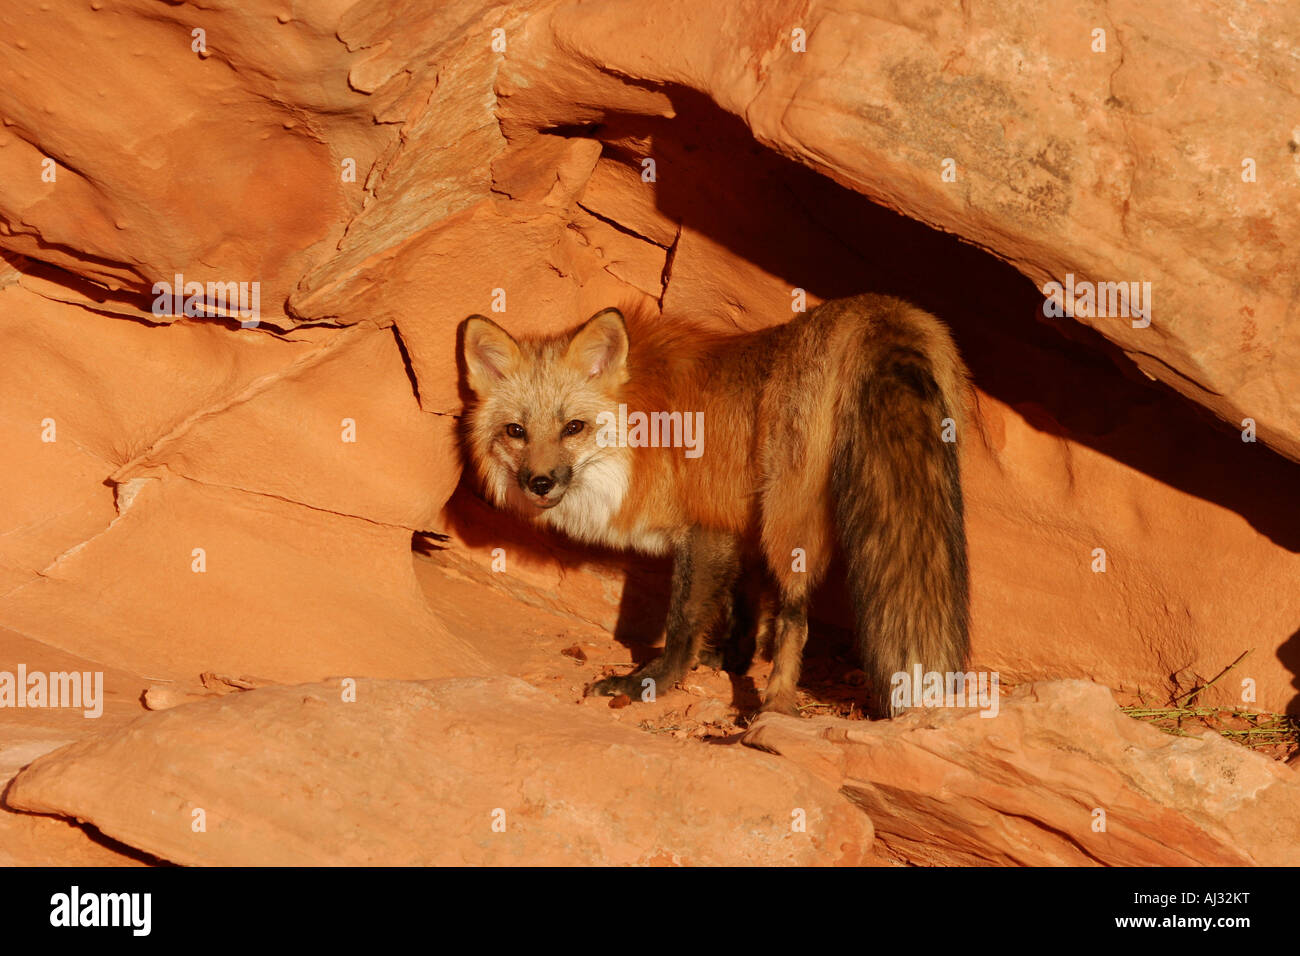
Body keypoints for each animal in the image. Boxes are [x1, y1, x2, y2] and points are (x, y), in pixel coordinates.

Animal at [458, 294, 971, 717]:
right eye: (516, 431)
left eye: (573, 428)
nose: (539, 483)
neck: (645, 433)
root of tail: (874, 308)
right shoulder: (736, 527)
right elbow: (743, 607)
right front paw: (733, 659)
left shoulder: (706, 527)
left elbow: (683, 623)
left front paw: (649, 684)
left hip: (788, 517)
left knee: (795, 617)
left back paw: (773, 708)